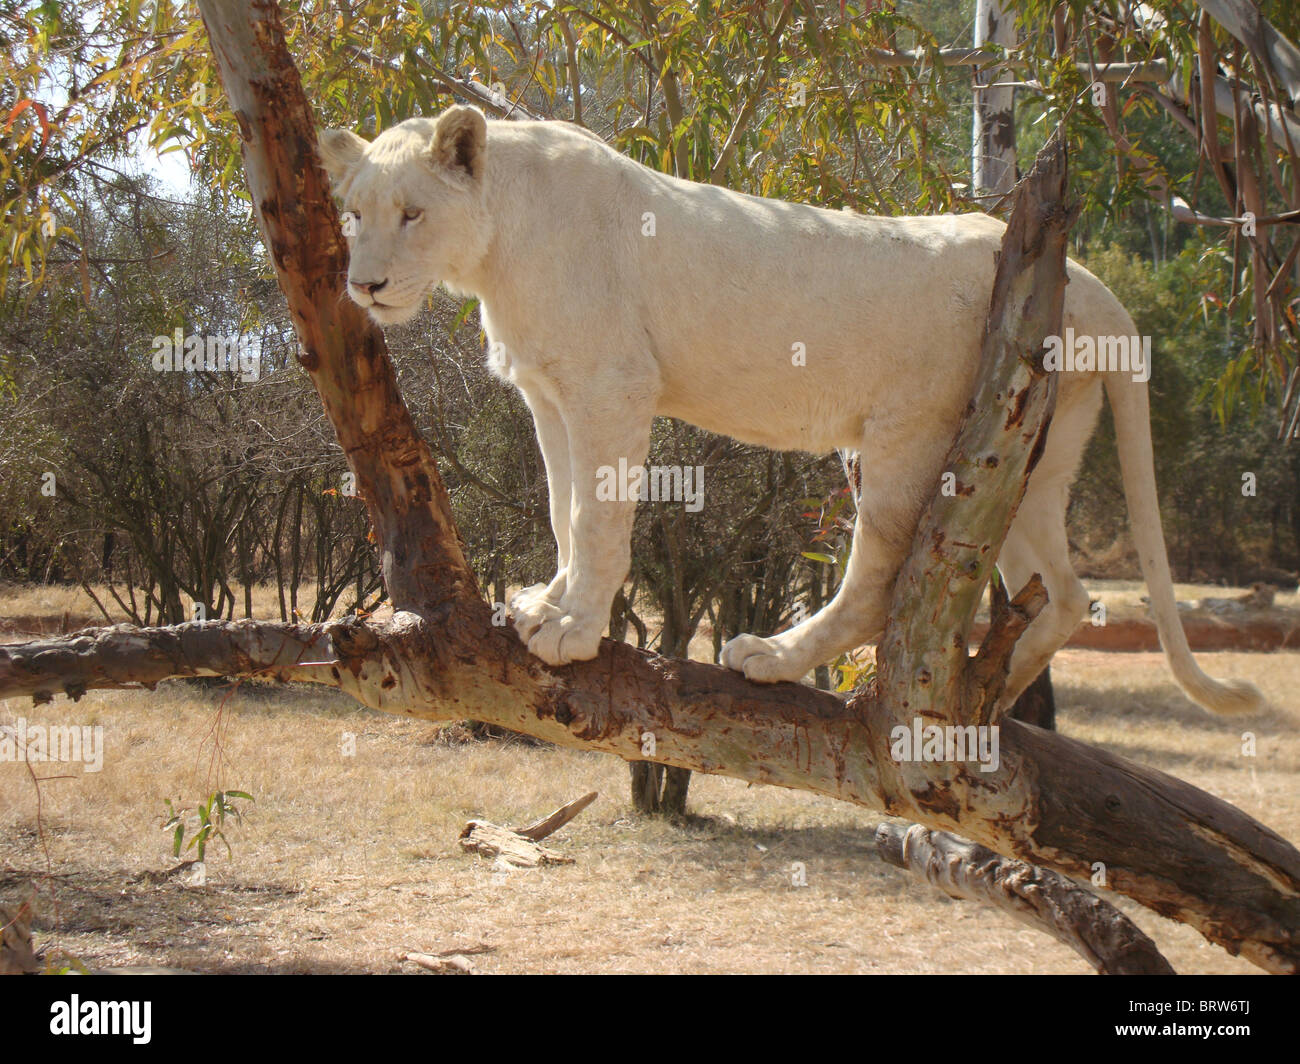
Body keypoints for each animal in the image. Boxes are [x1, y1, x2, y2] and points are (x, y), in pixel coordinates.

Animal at [318, 105, 1261, 716]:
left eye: (413, 213)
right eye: (354, 215)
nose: (364, 285)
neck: (496, 246)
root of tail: (1093, 285)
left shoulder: (609, 385)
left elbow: (597, 515)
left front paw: (574, 630)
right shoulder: (549, 391)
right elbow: (560, 506)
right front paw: (546, 603)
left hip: (913, 436)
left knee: (878, 583)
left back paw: (774, 657)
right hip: (1032, 446)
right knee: (1062, 593)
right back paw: (996, 695)